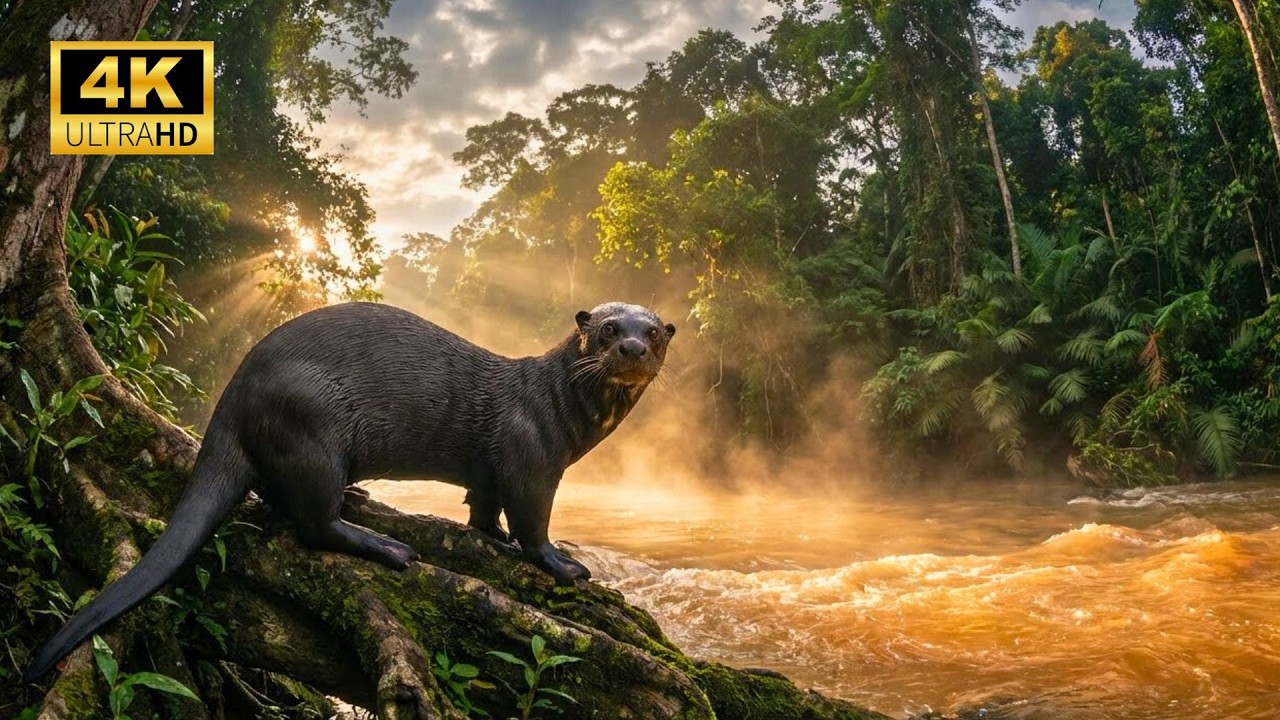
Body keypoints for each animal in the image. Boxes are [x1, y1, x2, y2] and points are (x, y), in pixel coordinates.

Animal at [24, 301, 675, 681]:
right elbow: (532, 524)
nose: (633, 348)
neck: (557, 409)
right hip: (314, 425)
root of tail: (234, 396)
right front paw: (564, 565)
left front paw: (488, 539)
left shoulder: (495, 471)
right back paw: (383, 544)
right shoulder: (531, 458)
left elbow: (483, 510)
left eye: (655, 333)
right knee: (312, 523)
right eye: (608, 330)